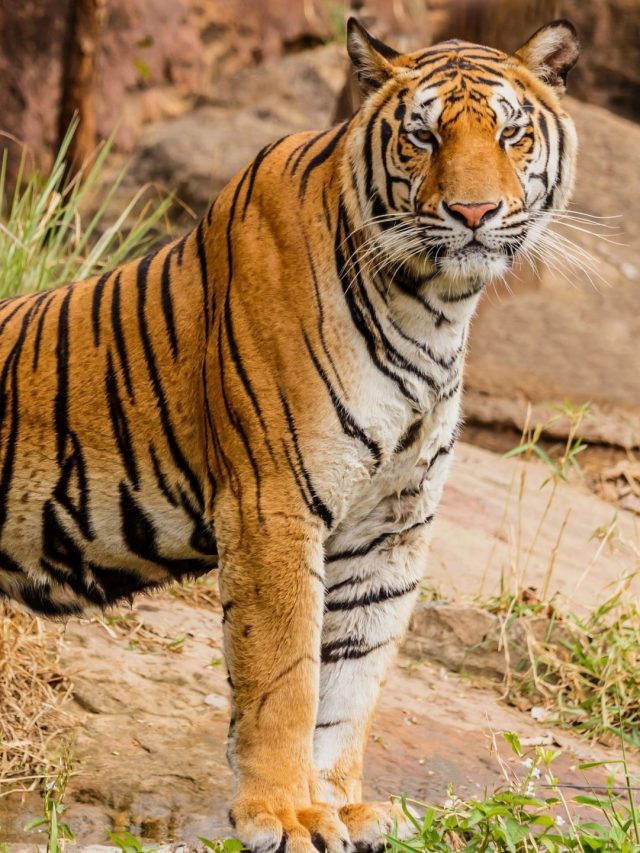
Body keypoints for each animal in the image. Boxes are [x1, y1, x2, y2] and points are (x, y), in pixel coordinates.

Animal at [0, 16, 579, 853]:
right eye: (424, 135)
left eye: (511, 134)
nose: (474, 214)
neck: (435, 307)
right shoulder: (272, 504)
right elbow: (286, 675)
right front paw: (283, 813)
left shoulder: (390, 529)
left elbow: (350, 679)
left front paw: (338, 804)